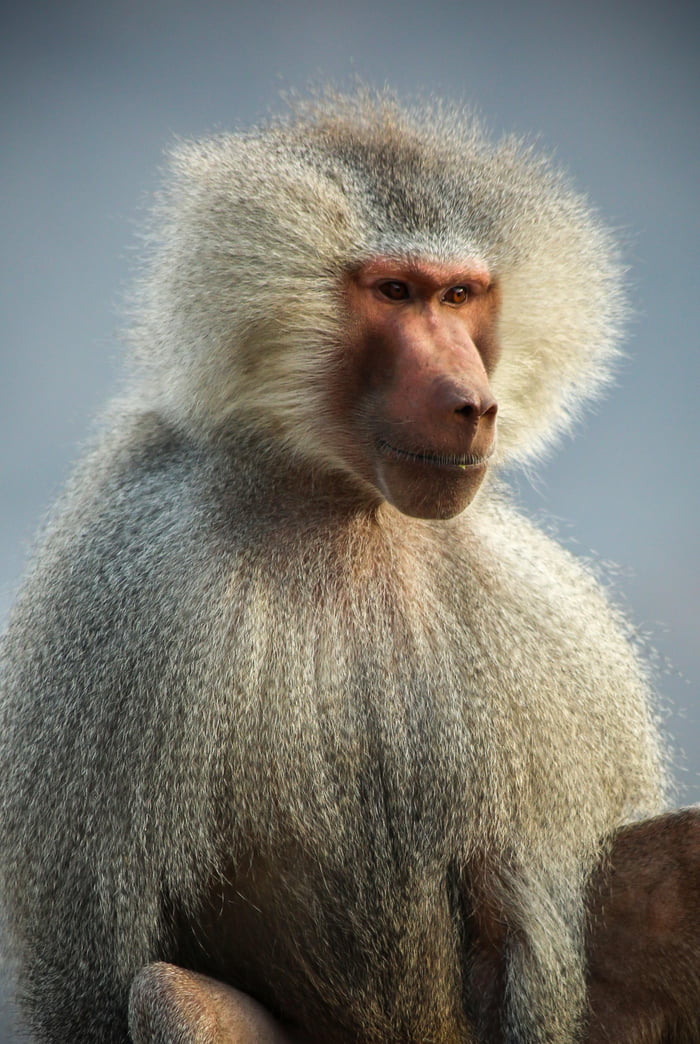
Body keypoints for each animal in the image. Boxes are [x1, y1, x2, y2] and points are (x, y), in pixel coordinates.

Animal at [0, 89, 695, 1043]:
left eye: (461, 295)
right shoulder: (126, 585)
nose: (473, 404)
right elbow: (91, 973)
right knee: (163, 994)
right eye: (396, 293)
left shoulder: (543, 619)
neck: (347, 510)